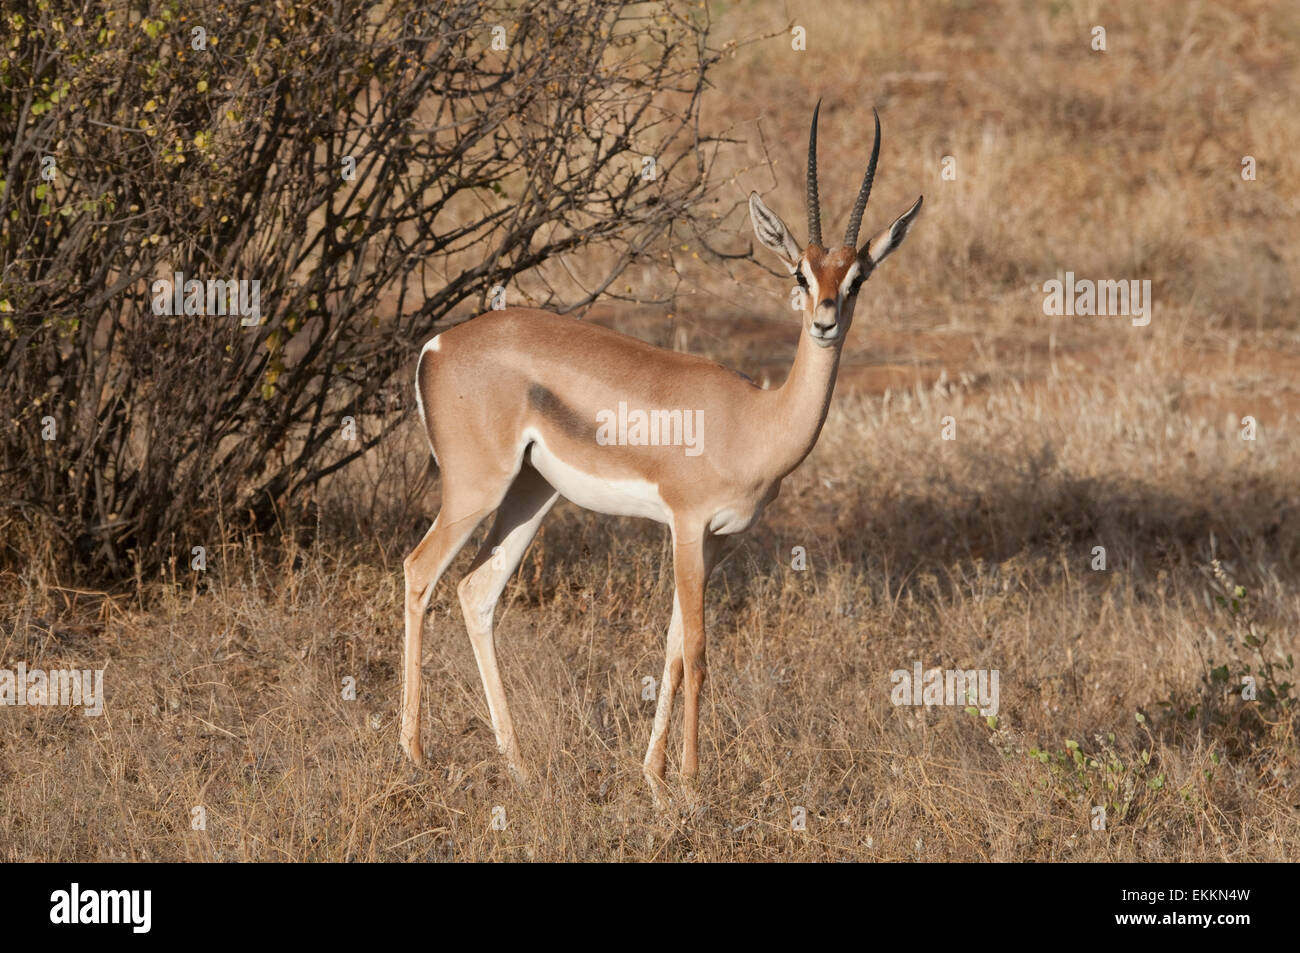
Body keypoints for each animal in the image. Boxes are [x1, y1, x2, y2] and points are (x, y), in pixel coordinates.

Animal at [400, 101, 923, 798]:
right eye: (799, 272)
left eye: (858, 277)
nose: (825, 320)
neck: (754, 421)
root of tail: (437, 345)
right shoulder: (686, 525)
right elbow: (698, 654)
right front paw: (694, 784)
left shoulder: (719, 542)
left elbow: (674, 650)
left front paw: (653, 775)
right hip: (475, 490)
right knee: (419, 572)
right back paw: (415, 755)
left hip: (531, 496)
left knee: (475, 592)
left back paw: (519, 764)